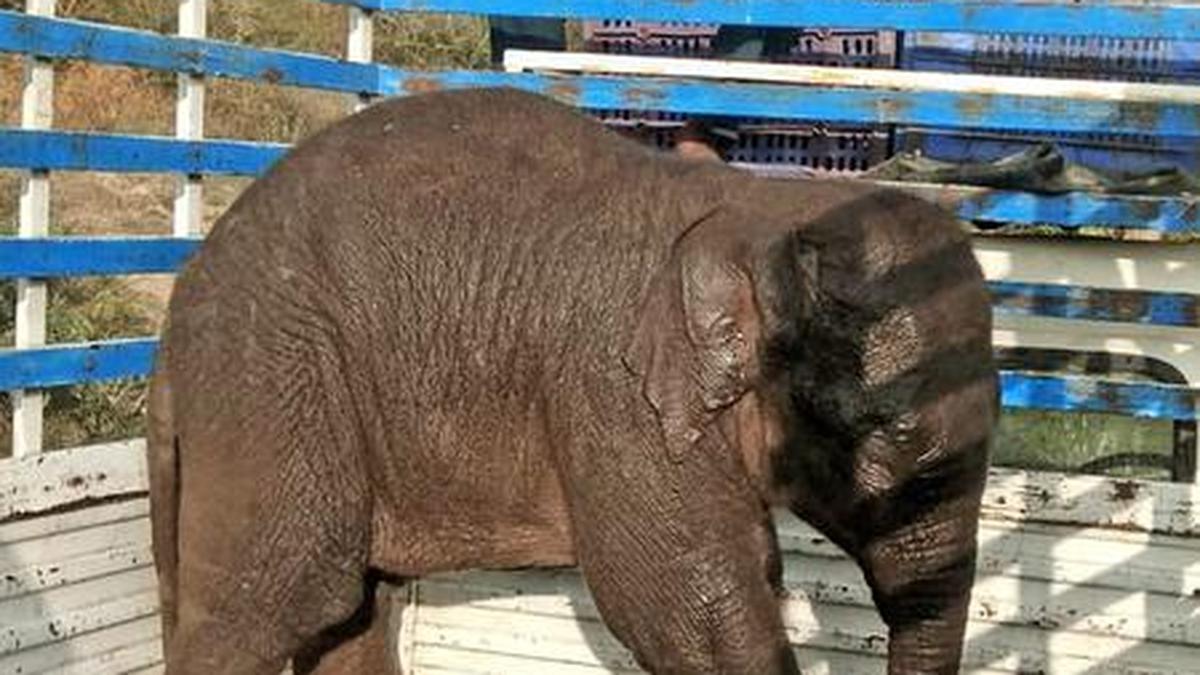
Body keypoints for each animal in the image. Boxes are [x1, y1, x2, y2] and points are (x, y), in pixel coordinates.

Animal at [147, 87, 998, 674]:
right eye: (869, 434)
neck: (761, 203)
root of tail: (178, 307)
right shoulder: (611, 386)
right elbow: (685, 598)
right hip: (272, 370)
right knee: (280, 592)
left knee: (348, 610)